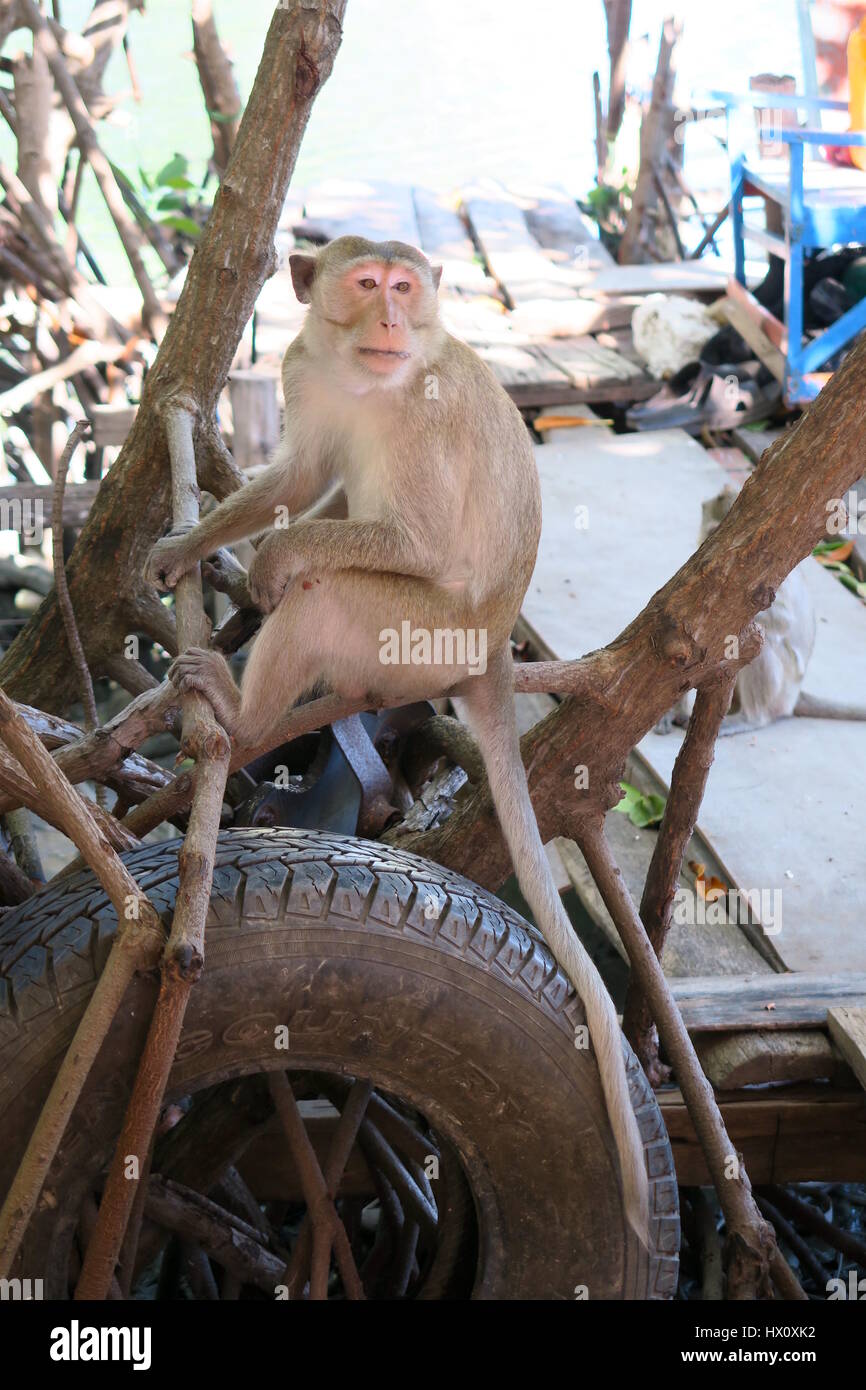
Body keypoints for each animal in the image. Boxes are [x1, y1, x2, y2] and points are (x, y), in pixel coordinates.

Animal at [145, 234, 649, 1245]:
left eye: (405, 289)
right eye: (366, 283)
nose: (387, 318)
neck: (364, 375)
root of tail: (491, 651)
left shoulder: (423, 416)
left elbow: (412, 545)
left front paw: (270, 562)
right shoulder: (302, 372)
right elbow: (301, 480)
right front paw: (190, 550)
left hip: (415, 639)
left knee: (331, 593)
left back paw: (242, 712)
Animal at [657, 485, 866, 736]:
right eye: (712, 533)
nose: (717, 552)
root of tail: (795, 696)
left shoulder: (773, 577)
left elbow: (780, 619)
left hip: (779, 695)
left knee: (758, 645)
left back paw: (749, 718)